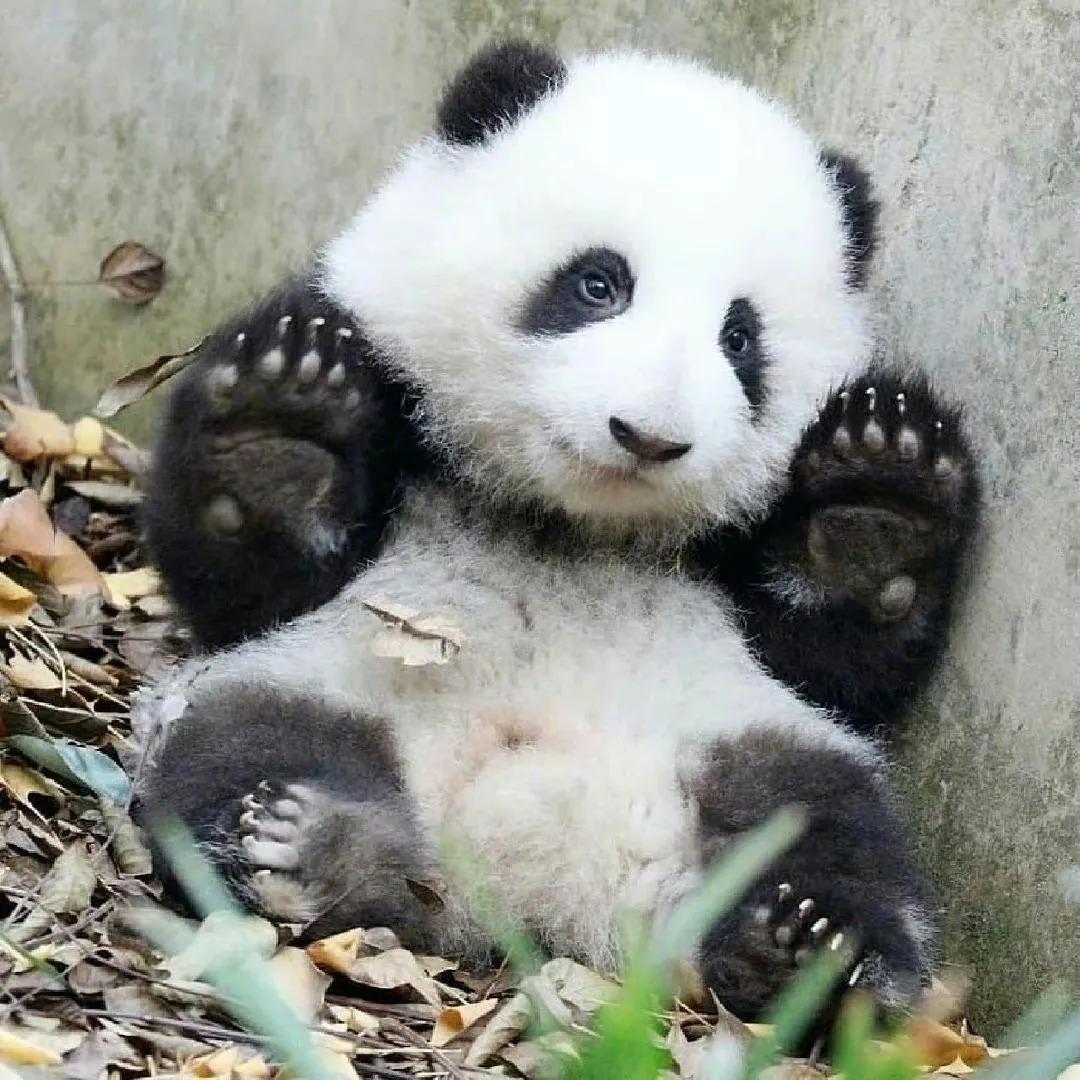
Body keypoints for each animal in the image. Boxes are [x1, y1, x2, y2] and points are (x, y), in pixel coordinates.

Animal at [134, 42, 979, 1021]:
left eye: (740, 337)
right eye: (597, 283)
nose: (649, 435)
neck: (569, 521)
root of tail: (552, 881)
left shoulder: (747, 585)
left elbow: (837, 664)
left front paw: (880, 490)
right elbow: (244, 590)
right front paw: (282, 421)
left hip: (737, 729)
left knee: (828, 826)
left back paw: (813, 952)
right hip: (331, 677)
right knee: (240, 750)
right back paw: (317, 851)